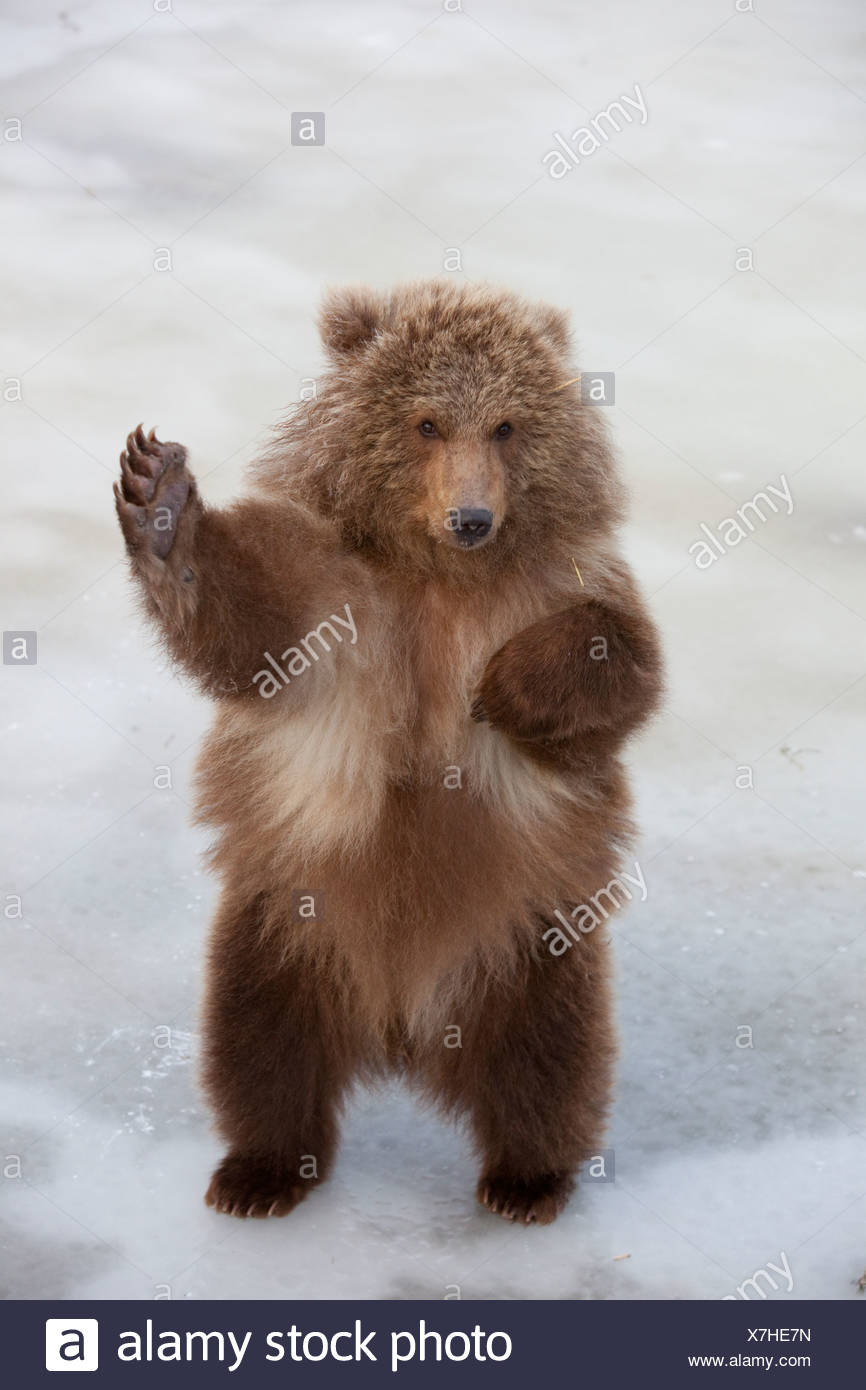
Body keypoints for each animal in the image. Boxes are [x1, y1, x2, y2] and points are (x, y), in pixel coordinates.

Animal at [114, 279, 663, 1226]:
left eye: (508, 424)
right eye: (427, 422)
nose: (472, 517)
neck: (440, 574)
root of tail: (403, 1030)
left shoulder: (559, 583)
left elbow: (616, 672)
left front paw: (505, 687)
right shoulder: (335, 591)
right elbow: (246, 622)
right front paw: (161, 505)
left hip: (529, 943)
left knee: (548, 1056)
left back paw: (527, 1179)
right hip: (287, 926)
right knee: (260, 1044)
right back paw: (260, 1170)